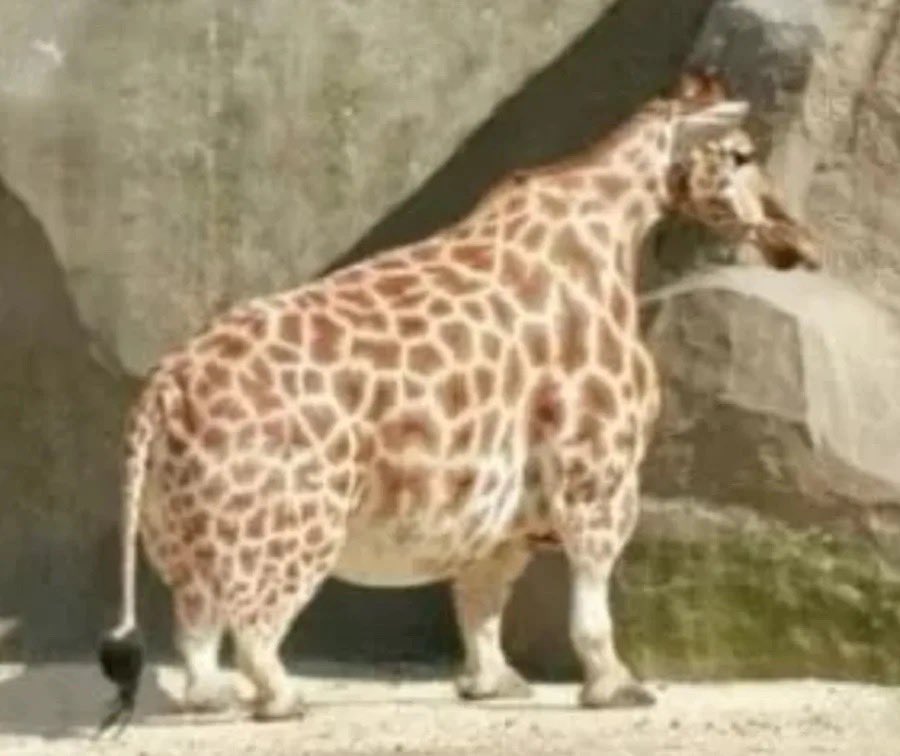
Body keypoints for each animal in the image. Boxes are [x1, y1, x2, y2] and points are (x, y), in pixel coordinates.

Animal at [98, 69, 819, 728]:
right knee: (252, 627)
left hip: (182, 533)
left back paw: (213, 700)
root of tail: (161, 391)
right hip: (292, 523)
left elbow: (480, 600)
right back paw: (283, 700)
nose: (800, 241)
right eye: (742, 155)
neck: (611, 231)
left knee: (196, 630)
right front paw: (616, 688)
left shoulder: (504, 505)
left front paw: (491, 685)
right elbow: (588, 608)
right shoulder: (599, 474)